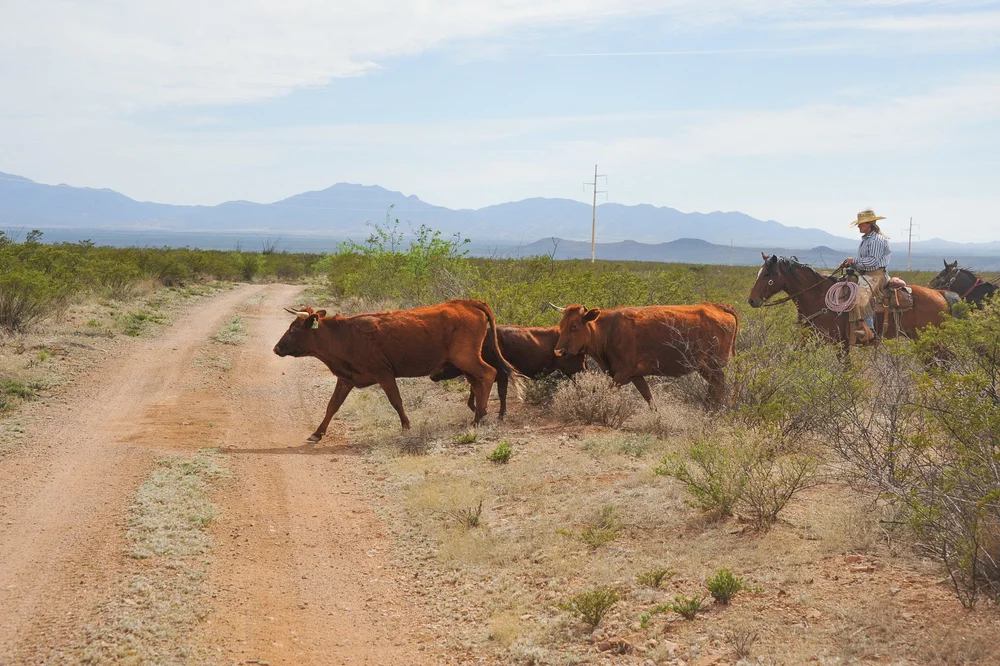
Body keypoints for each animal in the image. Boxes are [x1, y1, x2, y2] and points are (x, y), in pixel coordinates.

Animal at [273, 299, 520, 442]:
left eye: (293, 329)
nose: (276, 348)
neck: (344, 335)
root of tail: (466, 303)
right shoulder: (346, 379)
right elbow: (332, 405)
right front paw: (317, 432)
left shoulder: (384, 374)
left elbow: (396, 401)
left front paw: (406, 426)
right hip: (465, 362)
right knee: (478, 382)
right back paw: (478, 414)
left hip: (466, 358)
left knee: (487, 374)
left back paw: (480, 416)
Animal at [429, 325, 587, 418]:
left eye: (446, 360)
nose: (432, 375)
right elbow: (473, 393)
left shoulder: (501, 374)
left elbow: (501, 393)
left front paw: (501, 414)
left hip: (576, 370)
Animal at [549, 303, 740, 408]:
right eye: (561, 324)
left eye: (574, 326)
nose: (558, 351)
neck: (609, 328)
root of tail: (716, 306)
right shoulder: (636, 376)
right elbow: (649, 399)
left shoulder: (622, 374)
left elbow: (608, 393)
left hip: (713, 366)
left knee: (719, 386)